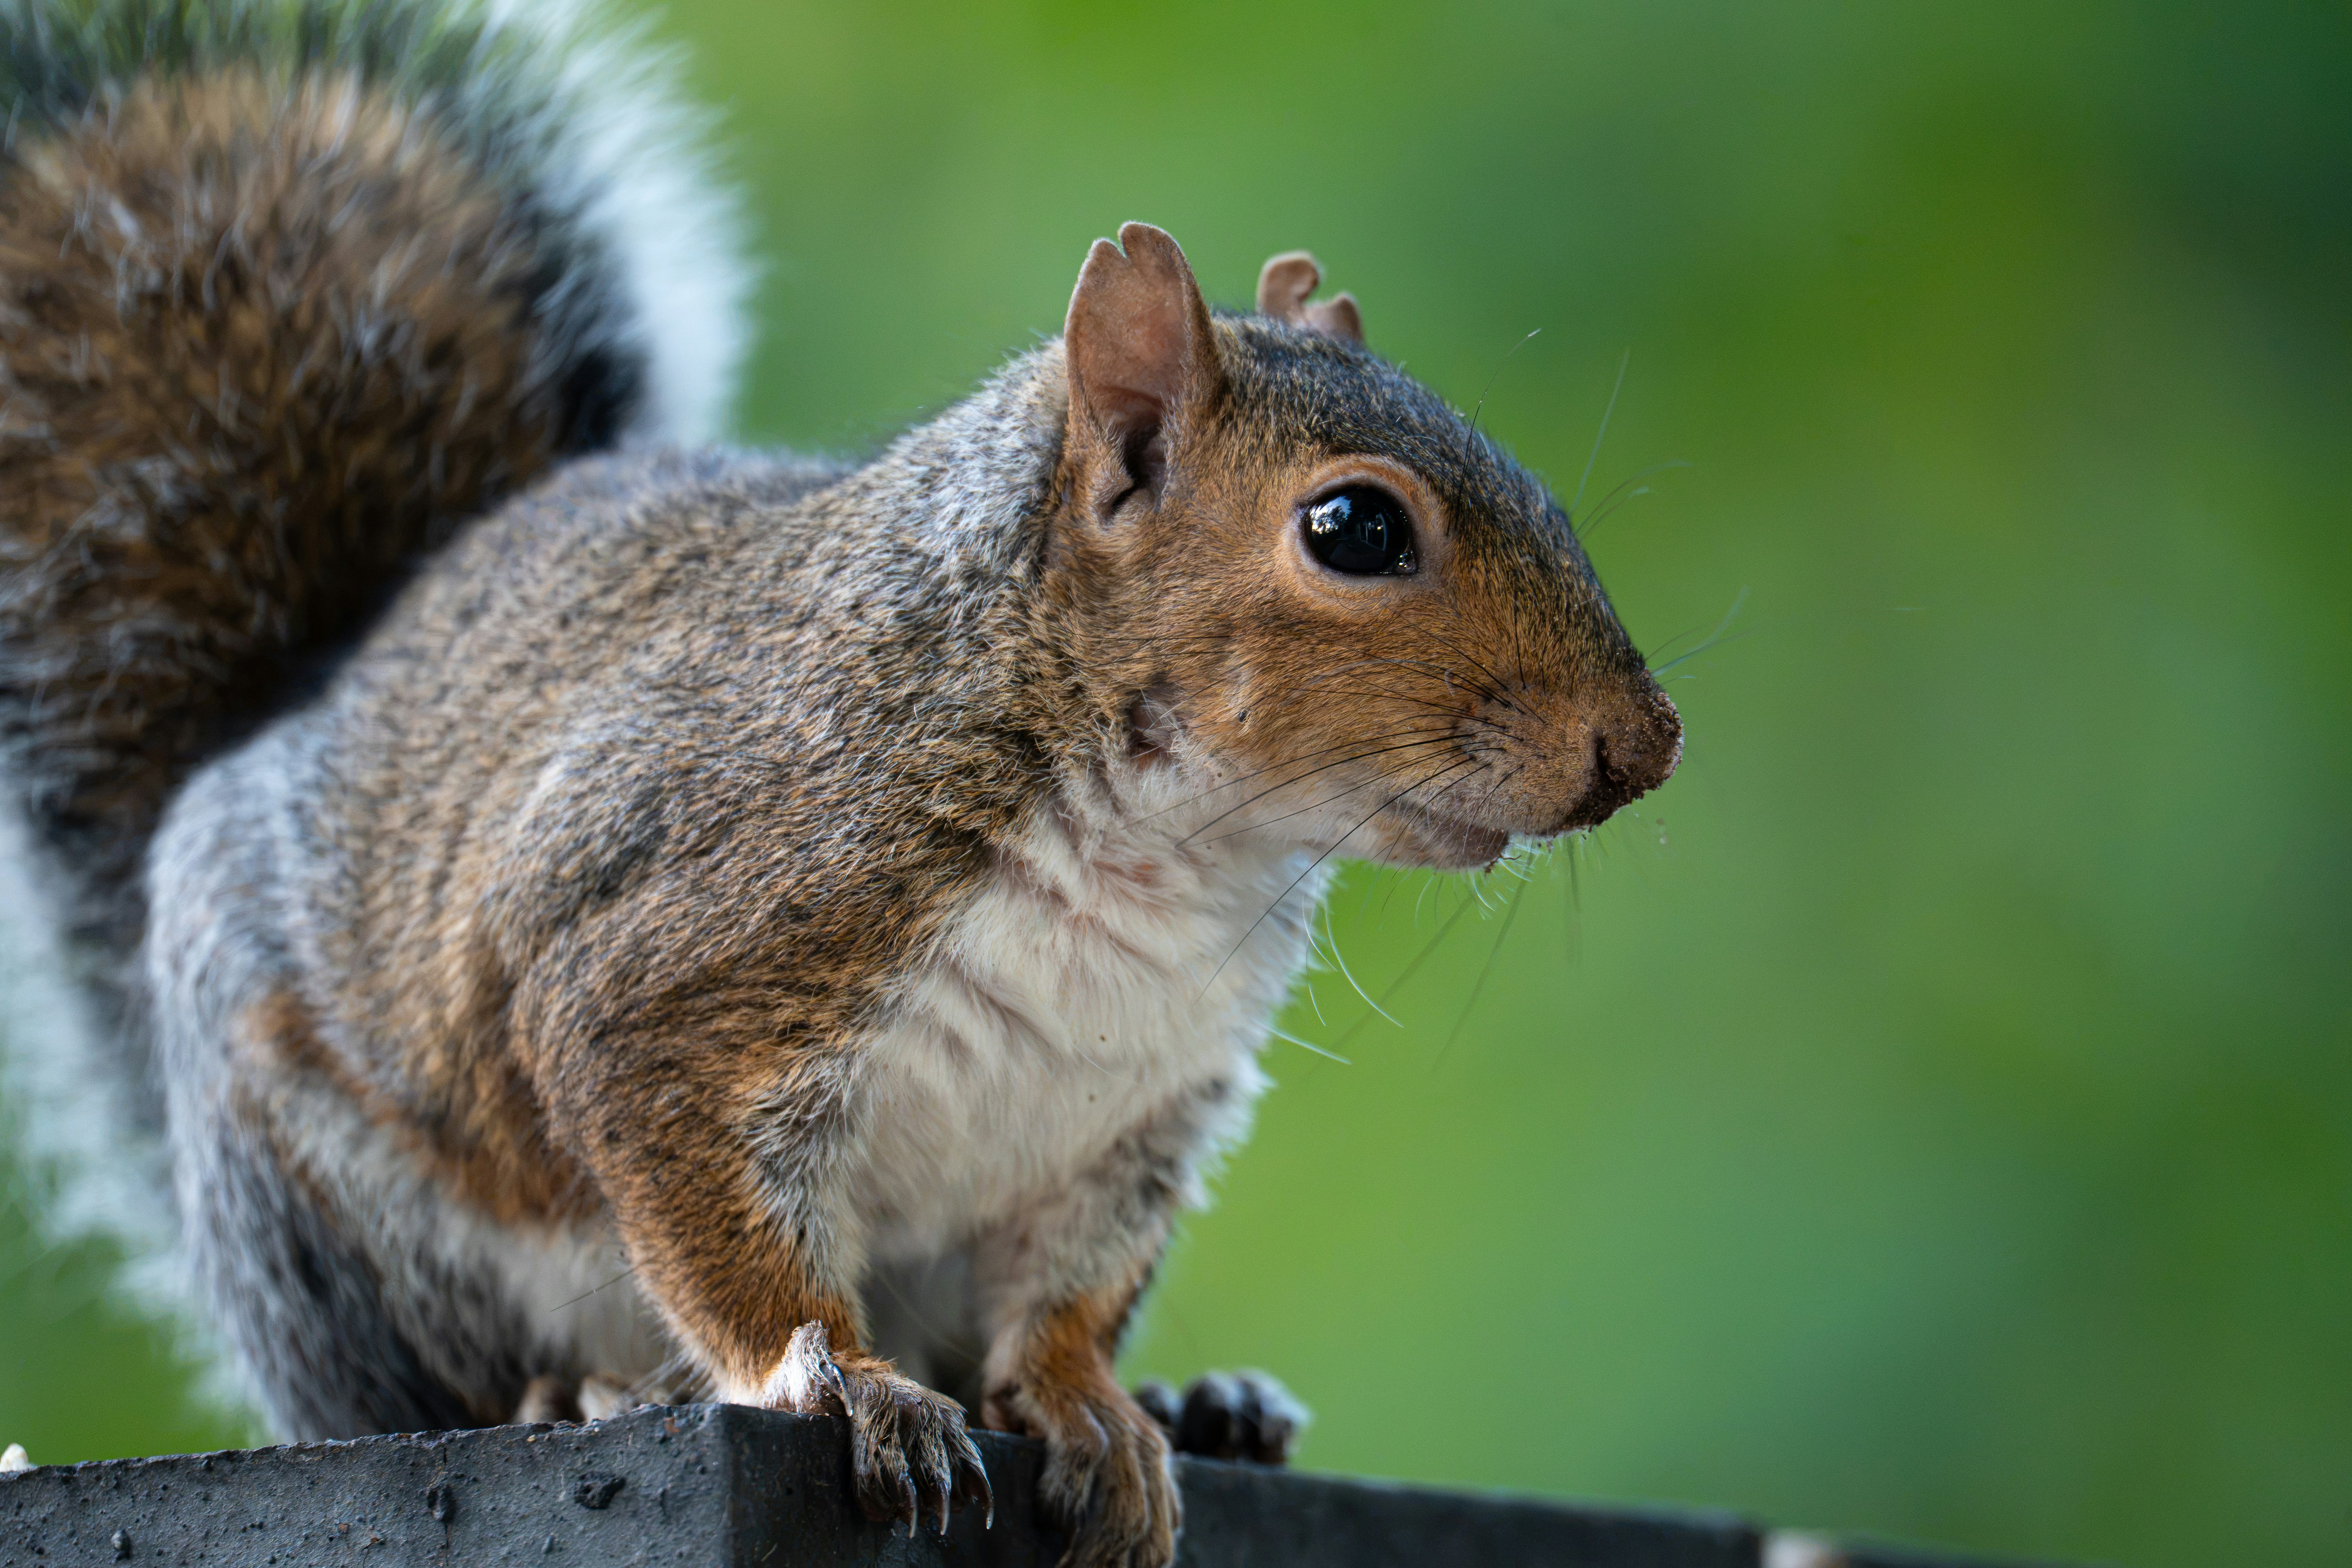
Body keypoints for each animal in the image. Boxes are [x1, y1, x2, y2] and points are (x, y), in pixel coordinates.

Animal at [0, 2, 1681, 1564]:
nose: (1647, 743)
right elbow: (722, 1236)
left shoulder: (1130, 1122)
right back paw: (577, 1395)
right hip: (326, 1212)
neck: (1165, 848)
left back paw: (1215, 1408)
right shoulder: (690, 958)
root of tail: (308, 693)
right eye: (1353, 528)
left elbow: (1066, 1303)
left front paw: (1096, 1404)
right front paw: (836, 1383)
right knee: (410, 1384)